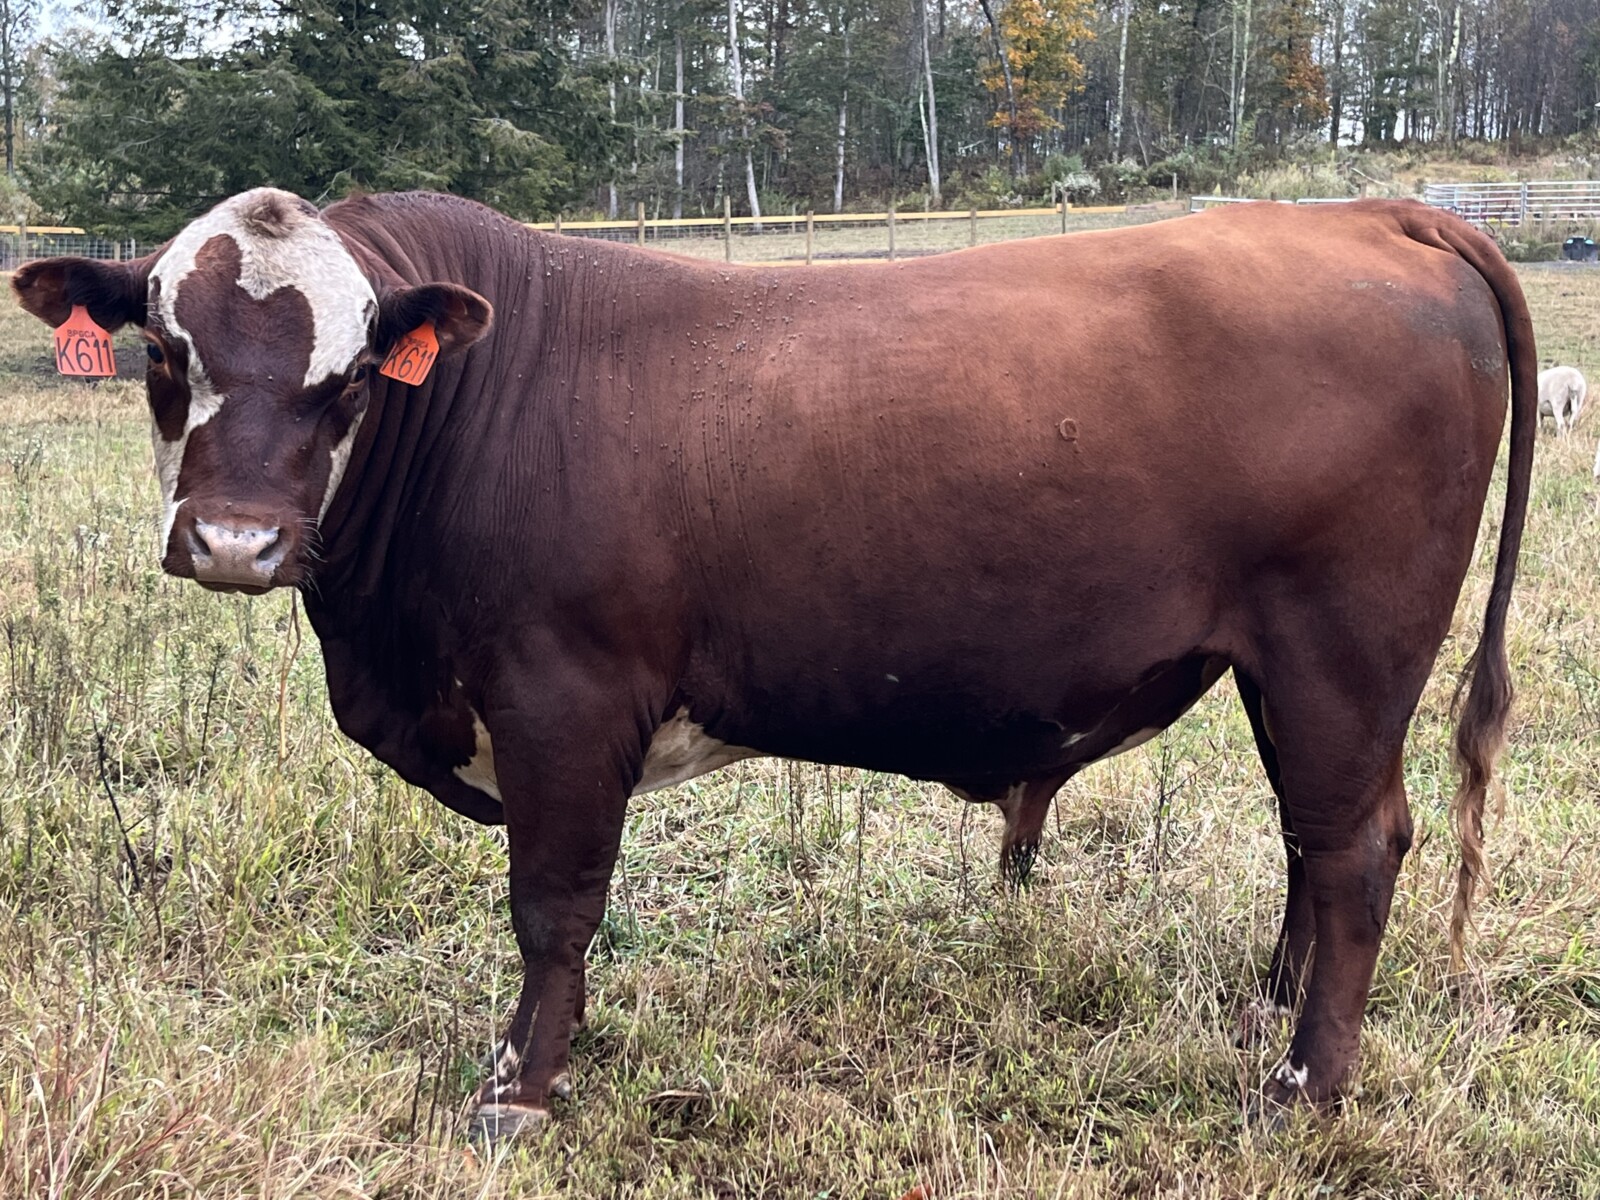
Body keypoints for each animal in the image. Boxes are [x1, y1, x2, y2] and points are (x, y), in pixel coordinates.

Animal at [13, 190, 1534, 1143]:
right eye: (165, 349)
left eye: (345, 382)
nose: (235, 540)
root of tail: (1373, 214)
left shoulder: (565, 699)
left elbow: (553, 909)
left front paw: (519, 1090)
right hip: (1292, 675)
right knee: (1315, 842)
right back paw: (1266, 1016)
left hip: (1341, 655)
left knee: (1354, 853)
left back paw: (1302, 1088)